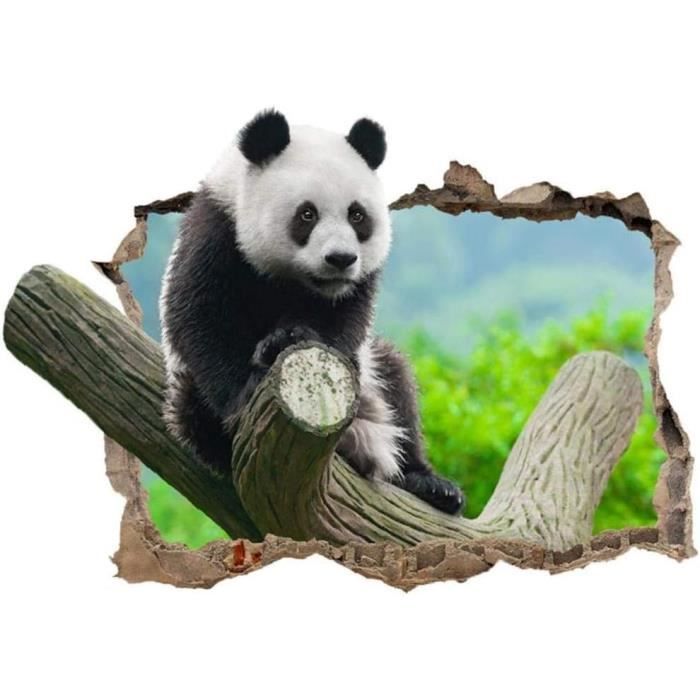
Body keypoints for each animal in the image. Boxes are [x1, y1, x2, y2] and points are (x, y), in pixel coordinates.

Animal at [159, 109, 465, 515]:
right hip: (188, 392)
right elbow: (200, 317)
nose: (340, 259)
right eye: (307, 214)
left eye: (357, 215)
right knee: (191, 409)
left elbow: (343, 321)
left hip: (373, 380)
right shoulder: (216, 231)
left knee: (398, 383)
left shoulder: (354, 288)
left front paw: (289, 336)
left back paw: (430, 485)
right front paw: (249, 385)